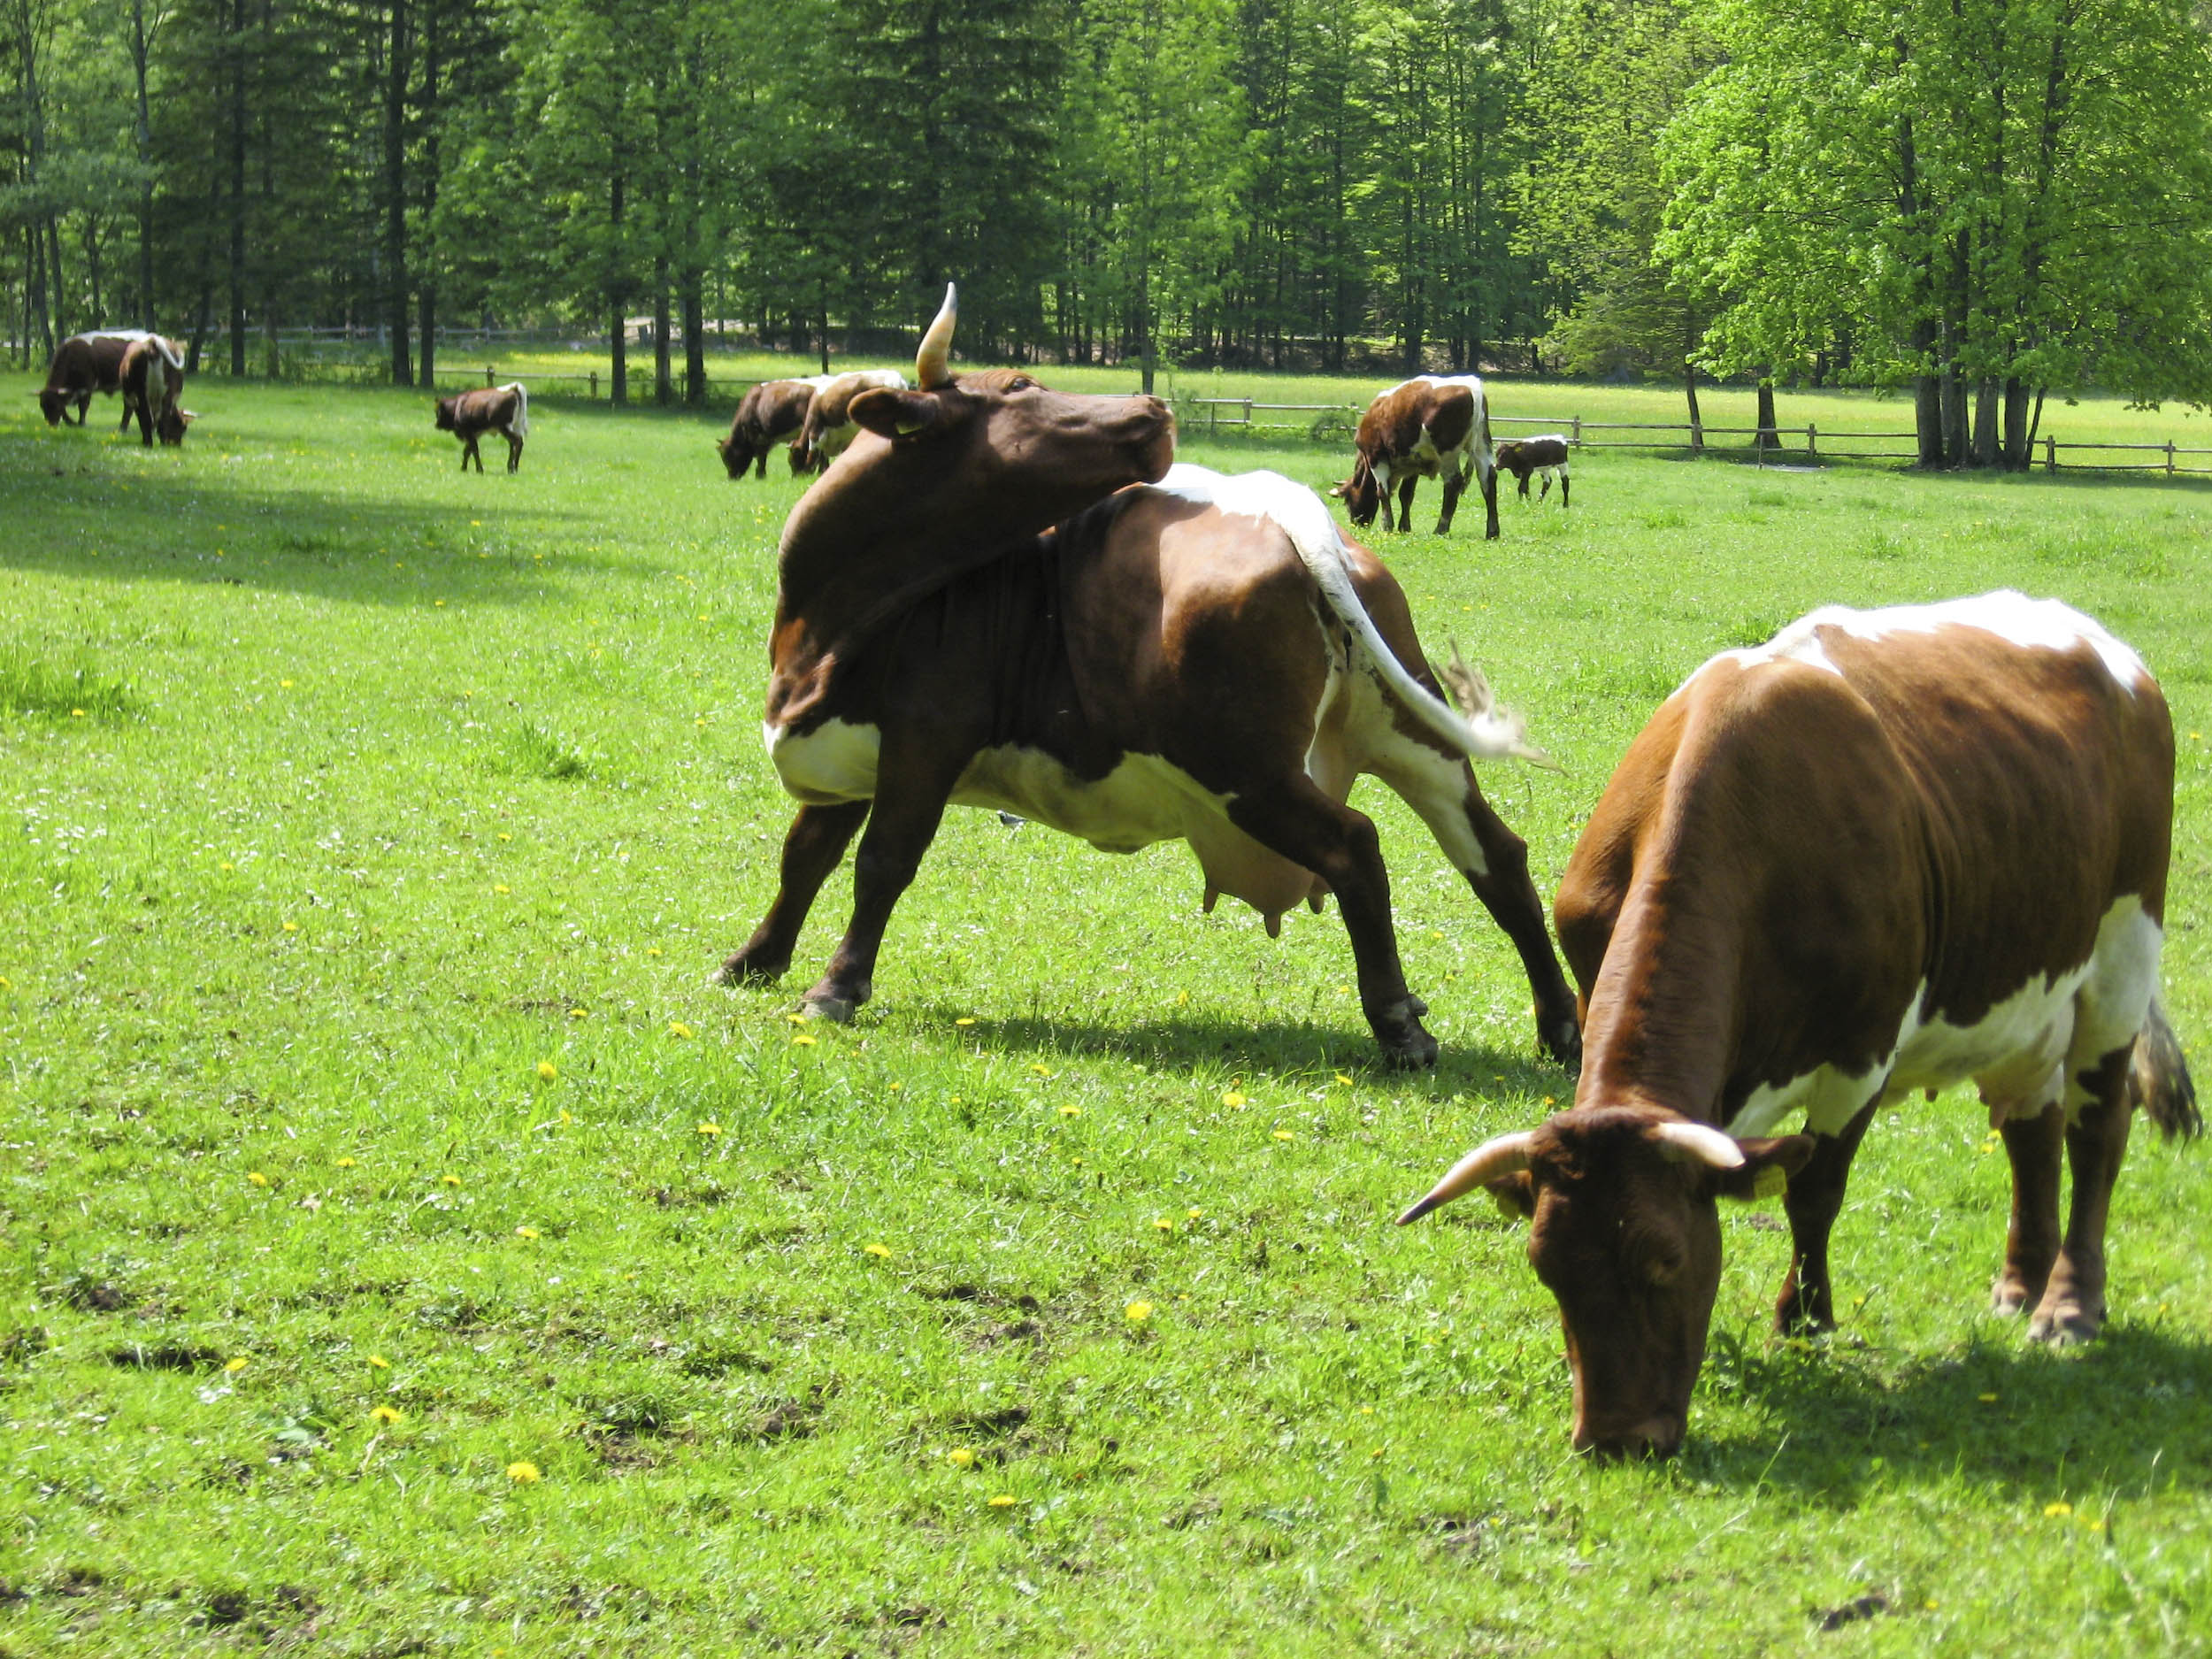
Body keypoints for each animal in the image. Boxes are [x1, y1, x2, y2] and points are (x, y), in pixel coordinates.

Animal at [787, 368, 908, 474]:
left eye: (792, 459)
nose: (796, 478)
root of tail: (896, 378)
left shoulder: (816, 432)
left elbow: (812, 454)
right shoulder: (844, 438)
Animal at [1330, 376, 1500, 539]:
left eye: (1347, 501)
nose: (1357, 523)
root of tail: (1471, 385)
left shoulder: (1376, 457)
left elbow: (1383, 492)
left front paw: (1387, 525)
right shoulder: (1413, 463)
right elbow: (1406, 495)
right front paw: (1404, 527)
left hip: (1447, 453)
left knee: (1453, 483)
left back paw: (1441, 528)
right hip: (1482, 446)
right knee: (1488, 479)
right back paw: (1492, 531)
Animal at [1397, 593, 2198, 1458]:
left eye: (1666, 1259)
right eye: (1548, 1268)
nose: (1617, 1439)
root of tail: (2107, 648)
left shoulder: (1861, 1052)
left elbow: (1814, 1190)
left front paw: (1803, 1320)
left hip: (2122, 955)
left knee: (2098, 1130)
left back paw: (2069, 1305)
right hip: (2024, 988)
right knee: (2032, 1128)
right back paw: (2021, 1285)